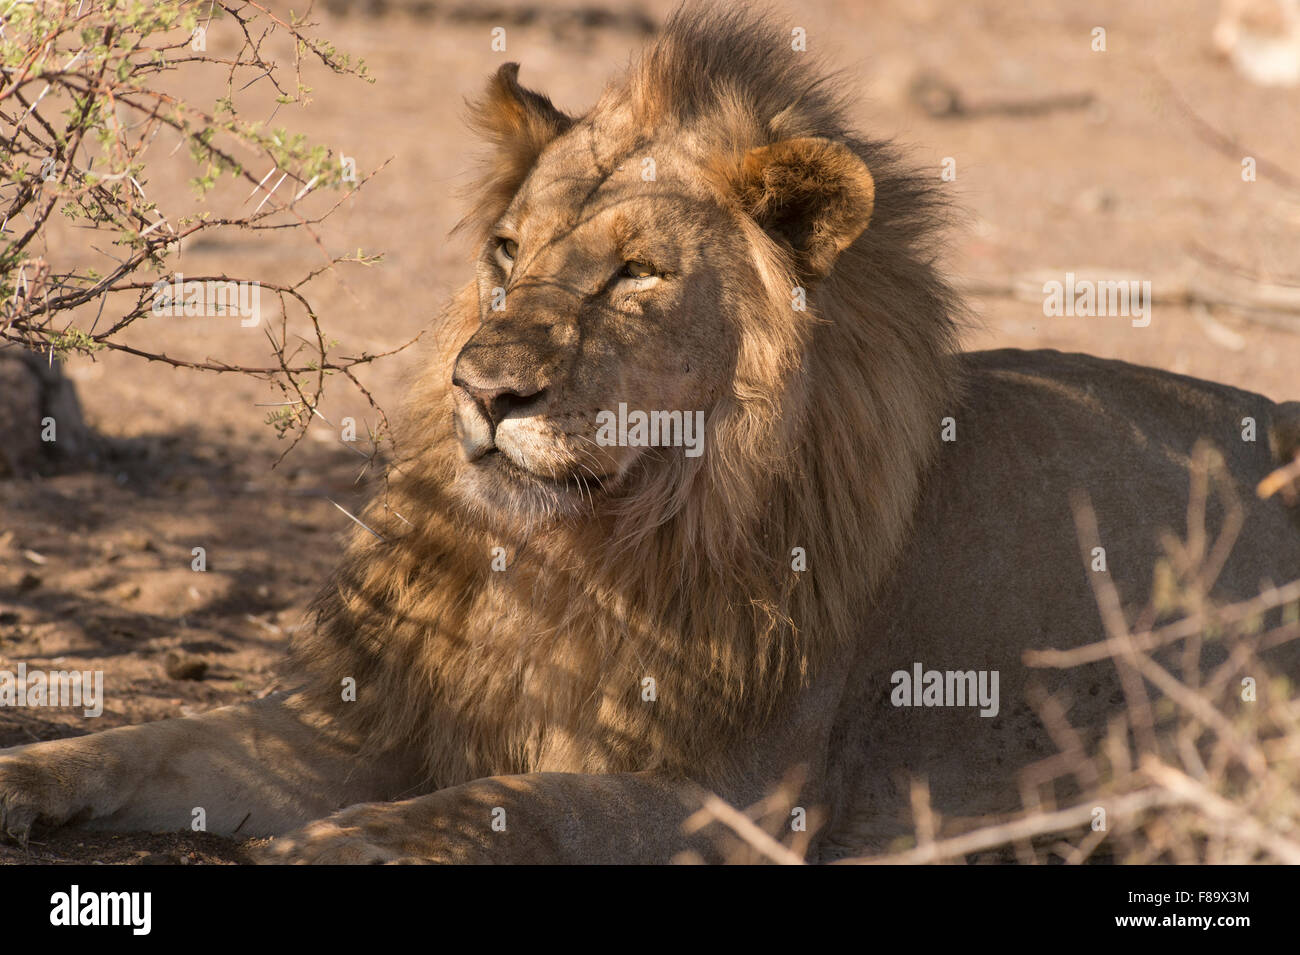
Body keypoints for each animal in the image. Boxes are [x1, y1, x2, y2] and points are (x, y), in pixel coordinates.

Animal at [2, 7, 1299, 864]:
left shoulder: (740, 798)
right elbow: (154, 741)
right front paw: (25, 774)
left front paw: (335, 843)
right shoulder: (361, 715)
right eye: (507, 252)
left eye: (636, 275)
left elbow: (512, 802)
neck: (576, 549)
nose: (483, 390)